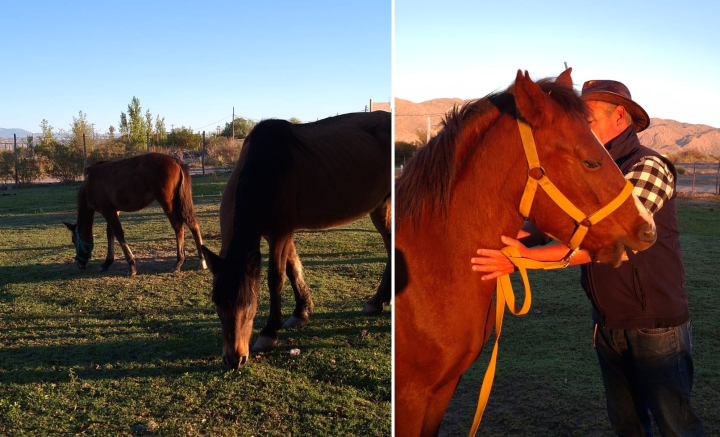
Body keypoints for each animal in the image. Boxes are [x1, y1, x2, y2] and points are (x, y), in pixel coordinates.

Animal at [64, 152, 207, 276]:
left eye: (74, 240)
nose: (80, 264)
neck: (91, 183)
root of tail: (177, 162)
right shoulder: (114, 210)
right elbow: (110, 233)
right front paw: (107, 263)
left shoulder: (107, 210)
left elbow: (118, 233)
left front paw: (131, 266)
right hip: (180, 201)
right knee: (192, 224)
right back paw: (202, 261)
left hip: (168, 202)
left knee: (178, 226)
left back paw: (178, 263)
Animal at [201, 111, 391, 369]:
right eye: (217, 304)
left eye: (249, 303)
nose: (233, 359)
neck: (267, 167)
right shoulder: (278, 233)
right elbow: (292, 269)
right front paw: (302, 312)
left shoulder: (280, 232)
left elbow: (276, 279)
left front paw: (269, 332)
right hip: (380, 206)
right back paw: (380, 300)